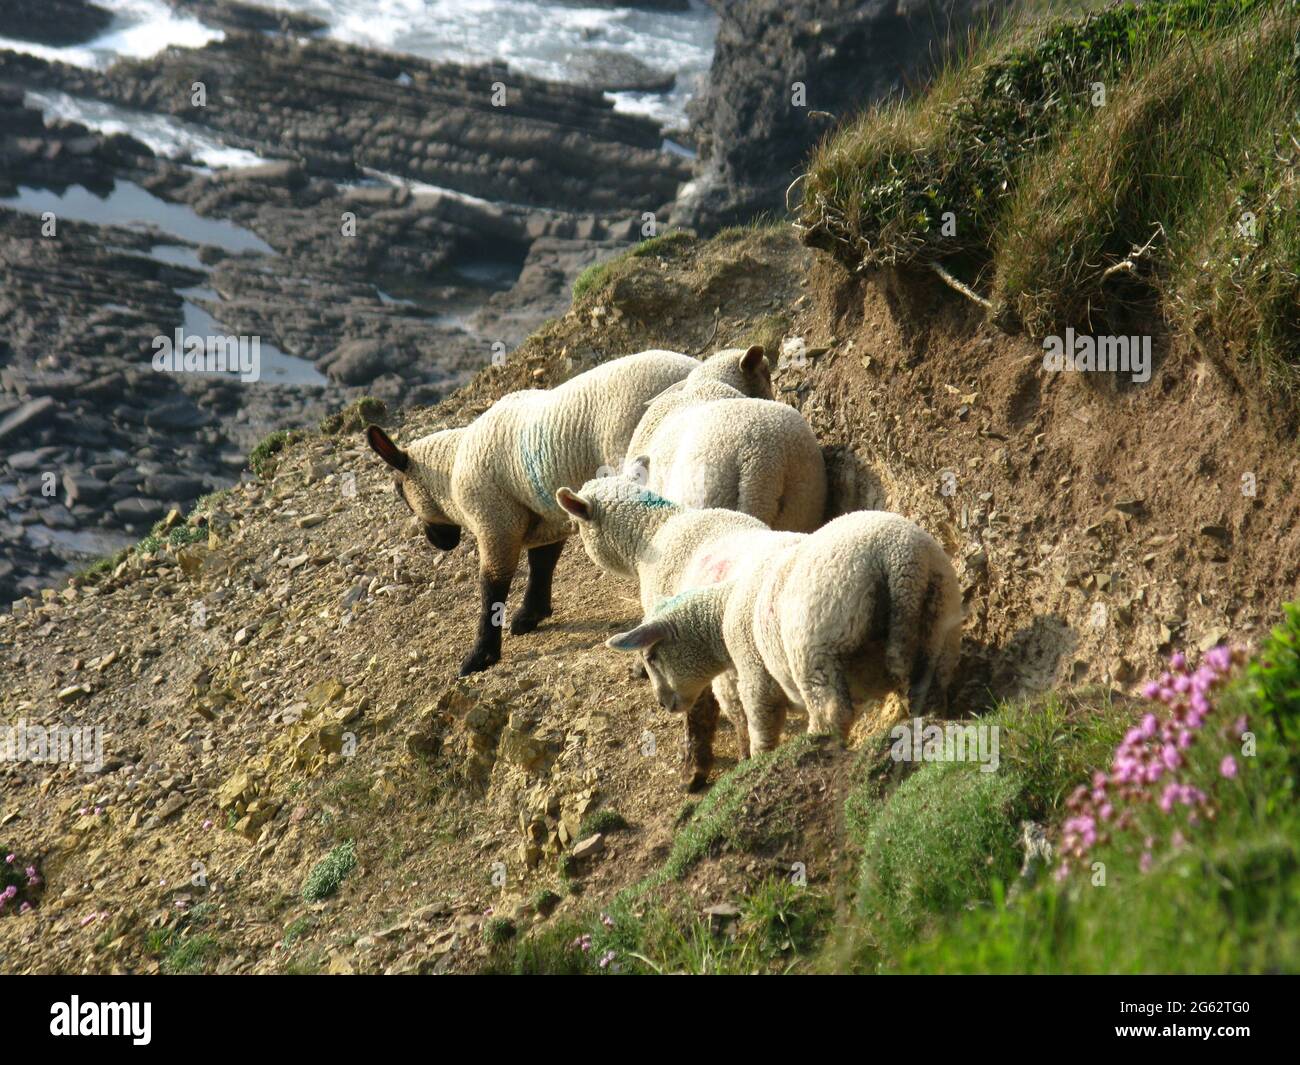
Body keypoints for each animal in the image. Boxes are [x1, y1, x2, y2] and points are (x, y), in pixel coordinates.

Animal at [367, 345, 772, 675]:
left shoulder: (495, 522)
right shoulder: (548, 516)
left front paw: (480, 656)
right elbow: (542, 564)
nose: (439, 542)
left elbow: (492, 586)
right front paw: (531, 615)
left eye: (398, 489)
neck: (451, 470)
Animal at [603, 510, 963, 757]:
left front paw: (759, 758)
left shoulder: (754, 672)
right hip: (939, 626)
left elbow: (762, 721)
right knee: (929, 690)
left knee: (831, 712)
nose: (664, 704)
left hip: (816, 646)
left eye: (651, 656)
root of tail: (898, 560)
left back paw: (815, 743)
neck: (723, 608)